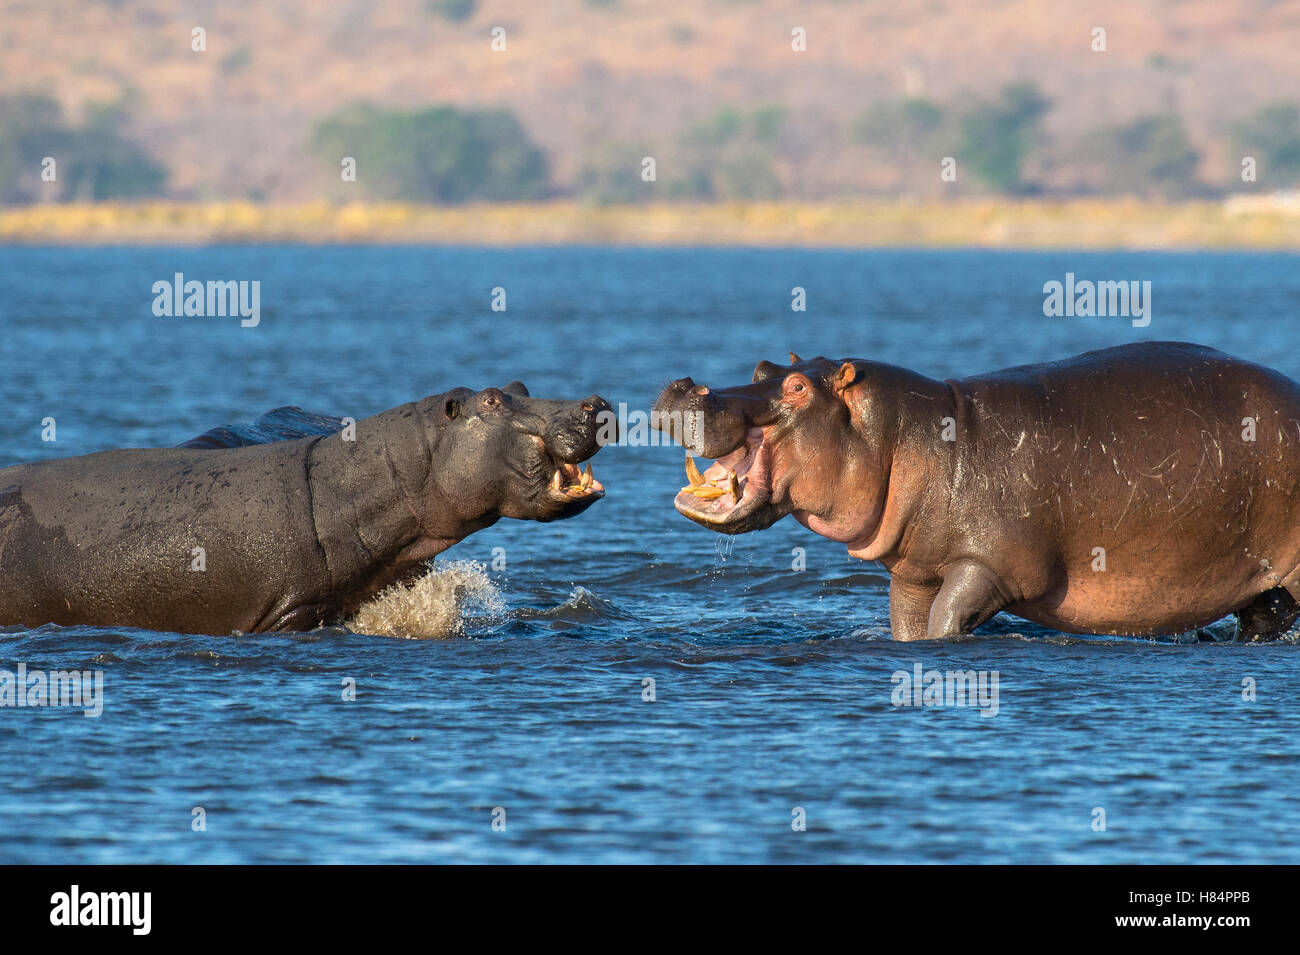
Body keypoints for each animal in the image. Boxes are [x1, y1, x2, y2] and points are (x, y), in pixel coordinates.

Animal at [653, 342, 1300, 641]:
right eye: (761, 369)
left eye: (796, 388)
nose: (684, 385)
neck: (913, 437)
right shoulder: (914, 572)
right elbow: (910, 624)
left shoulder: (990, 565)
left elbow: (948, 619)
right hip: (1259, 581)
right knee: (1264, 615)